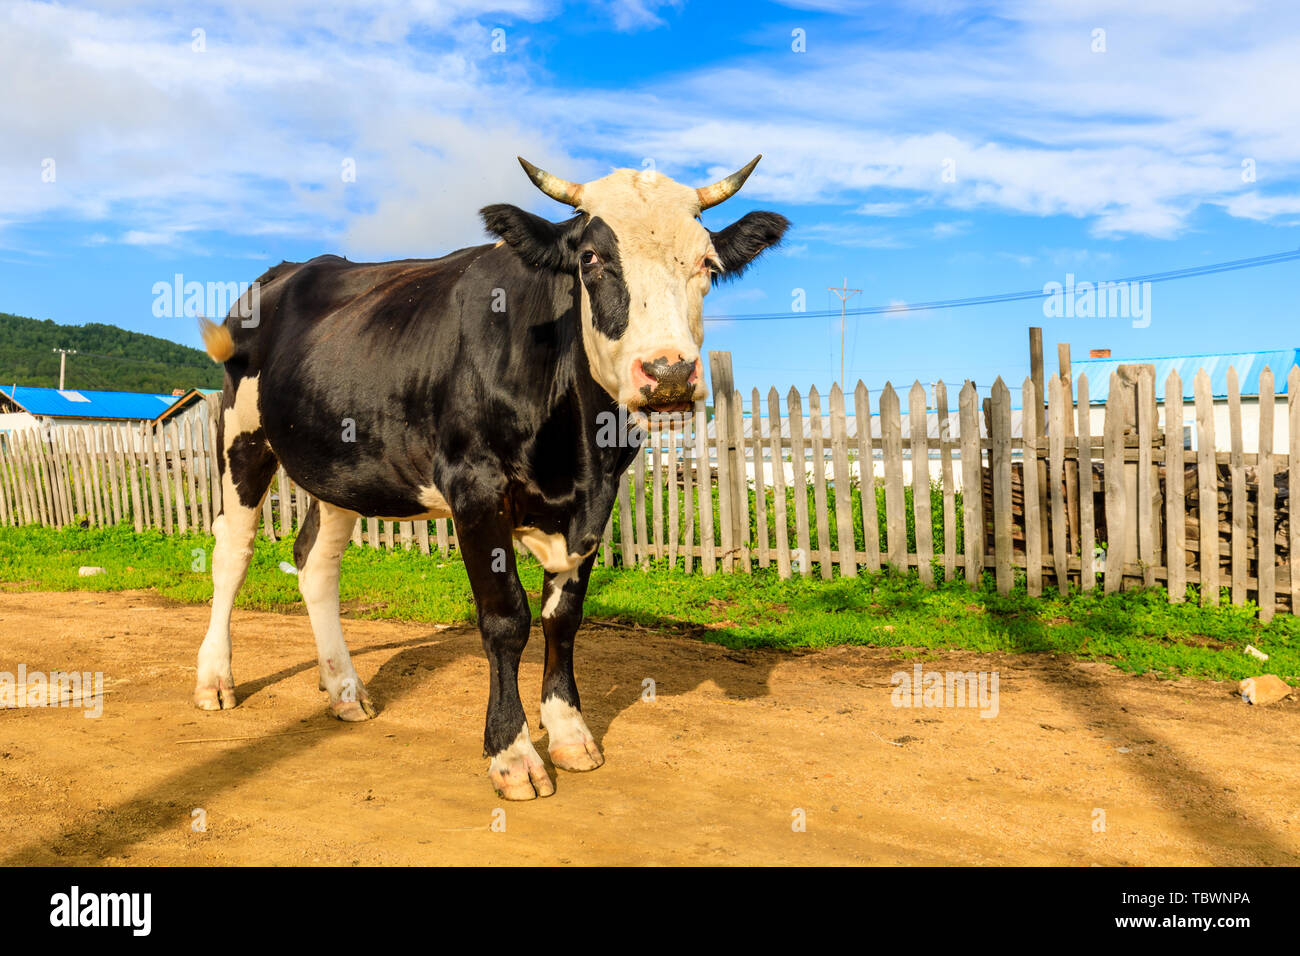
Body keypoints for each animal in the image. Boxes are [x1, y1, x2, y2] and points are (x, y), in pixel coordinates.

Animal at [193, 155, 789, 799]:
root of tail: (291, 270)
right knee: (232, 552)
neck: (576, 449)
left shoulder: (597, 500)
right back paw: (215, 680)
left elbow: (563, 618)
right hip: (242, 435)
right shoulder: (473, 487)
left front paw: (570, 733)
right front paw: (513, 753)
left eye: (707, 263)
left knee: (315, 563)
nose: (670, 373)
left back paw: (346, 692)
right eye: (591, 259)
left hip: (339, 469)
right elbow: (507, 619)